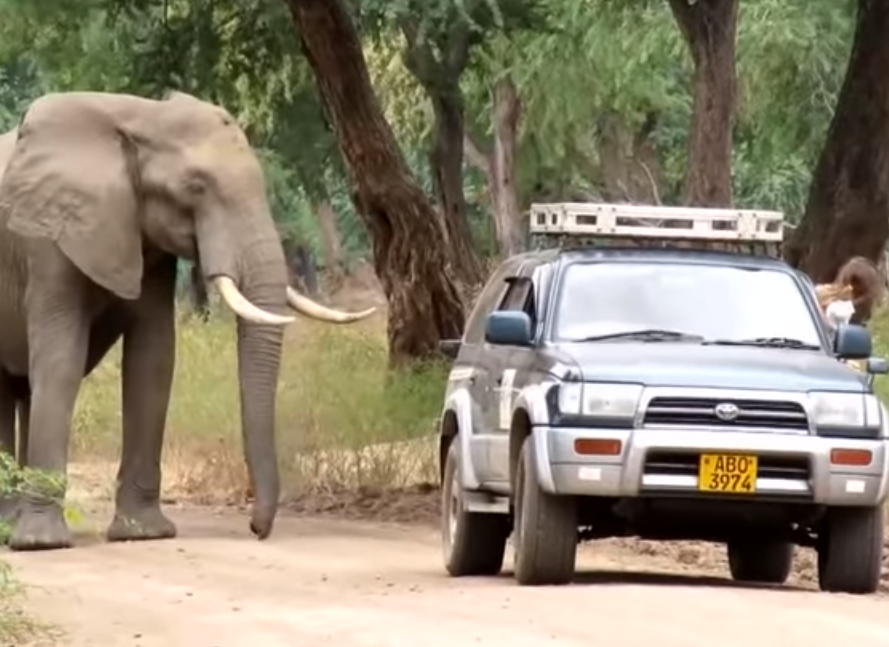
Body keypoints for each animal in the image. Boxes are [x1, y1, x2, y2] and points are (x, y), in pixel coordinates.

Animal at [0, 91, 375, 551]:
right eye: (195, 188)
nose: (256, 528)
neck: (140, 115)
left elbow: (153, 359)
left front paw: (144, 535)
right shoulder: (48, 239)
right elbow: (60, 361)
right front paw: (42, 544)